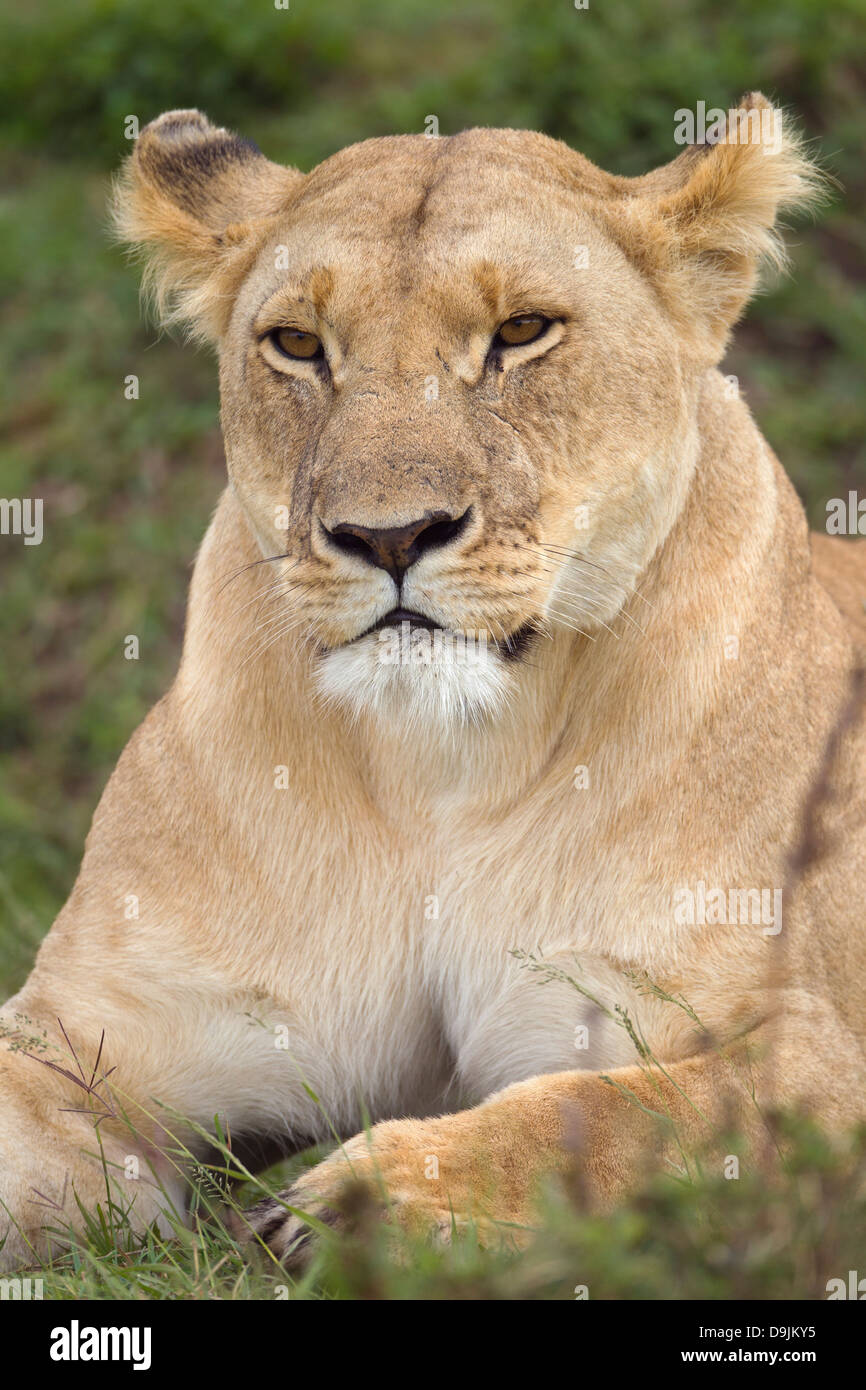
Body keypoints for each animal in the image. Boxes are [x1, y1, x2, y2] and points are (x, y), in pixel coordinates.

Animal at [1, 93, 865, 1272]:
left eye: (522, 331)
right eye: (297, 345)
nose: (389, 534)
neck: (440, 767)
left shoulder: (814, 1053)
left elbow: (607, 1111)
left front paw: (368, 1197)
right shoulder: (94, 1035)